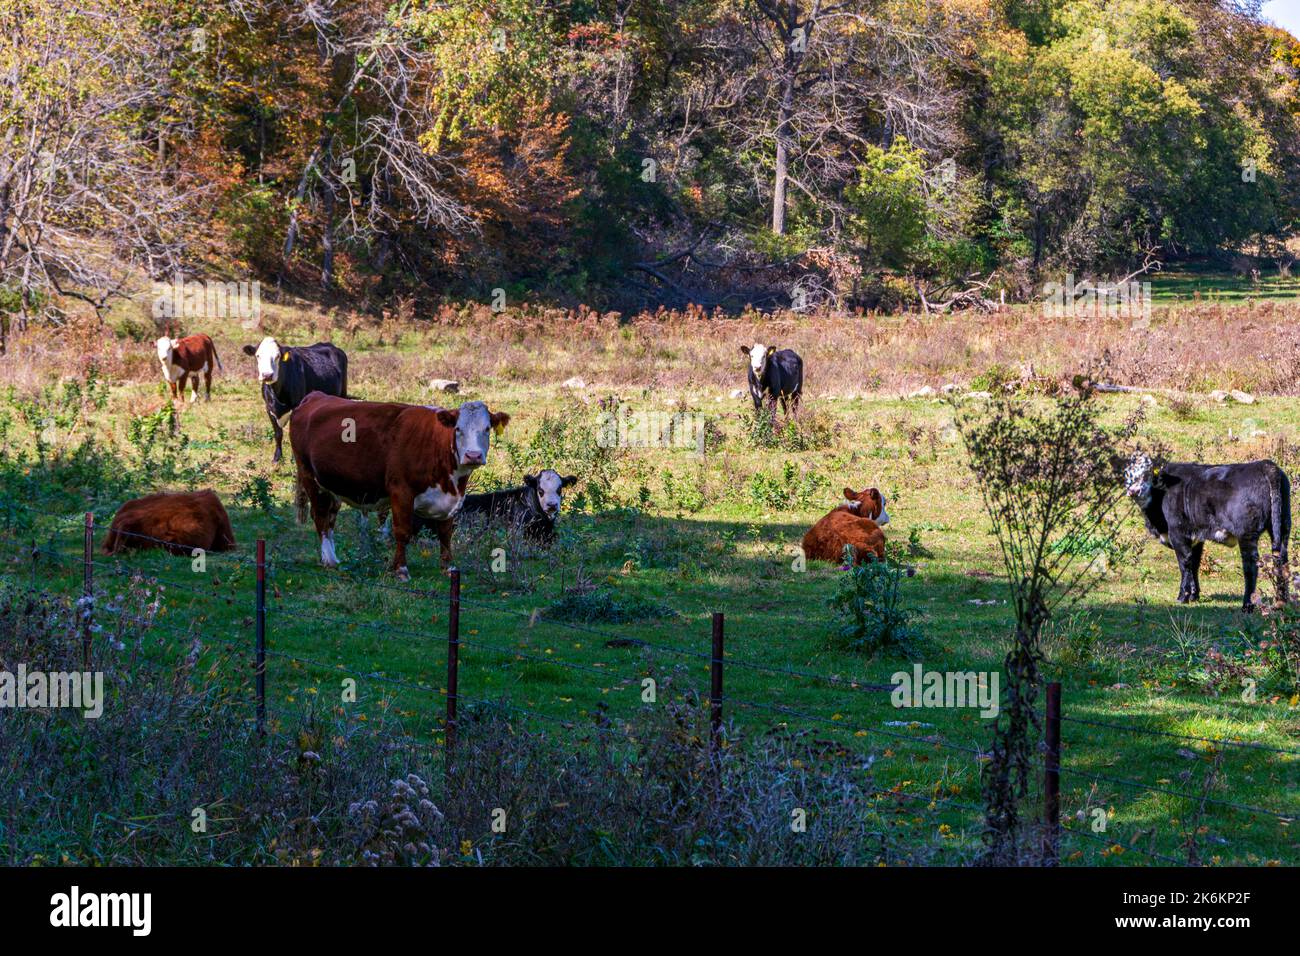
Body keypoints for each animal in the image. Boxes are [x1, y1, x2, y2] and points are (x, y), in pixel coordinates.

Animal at [289, 392, 510, 580]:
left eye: (487, 429)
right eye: (458, 429)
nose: (473, 455)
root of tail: (315, 396)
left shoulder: (450, 498)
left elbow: (446, 533)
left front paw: (448, 568)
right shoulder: (401, 491)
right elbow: (403, 531)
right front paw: (401, 570)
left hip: (334, 485)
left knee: (331, 517)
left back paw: (332, 556)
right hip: (309, 476)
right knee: (320, 515)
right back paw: (329, 560)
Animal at [1119, 454, 1291, 611]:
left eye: (1147, 473)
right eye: (1127, 474)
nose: (1134, 490)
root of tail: (1266, 465)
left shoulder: (1177, 533)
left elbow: (1184, 564)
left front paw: (1183, 596)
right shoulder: (1197, 536)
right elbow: (1194, 563)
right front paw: (1194, 595)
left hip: (1246, 534)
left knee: (1250, 566)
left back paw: (1247, 605)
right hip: (1283, 527)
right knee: (1282, 559)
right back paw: (1282, 602)